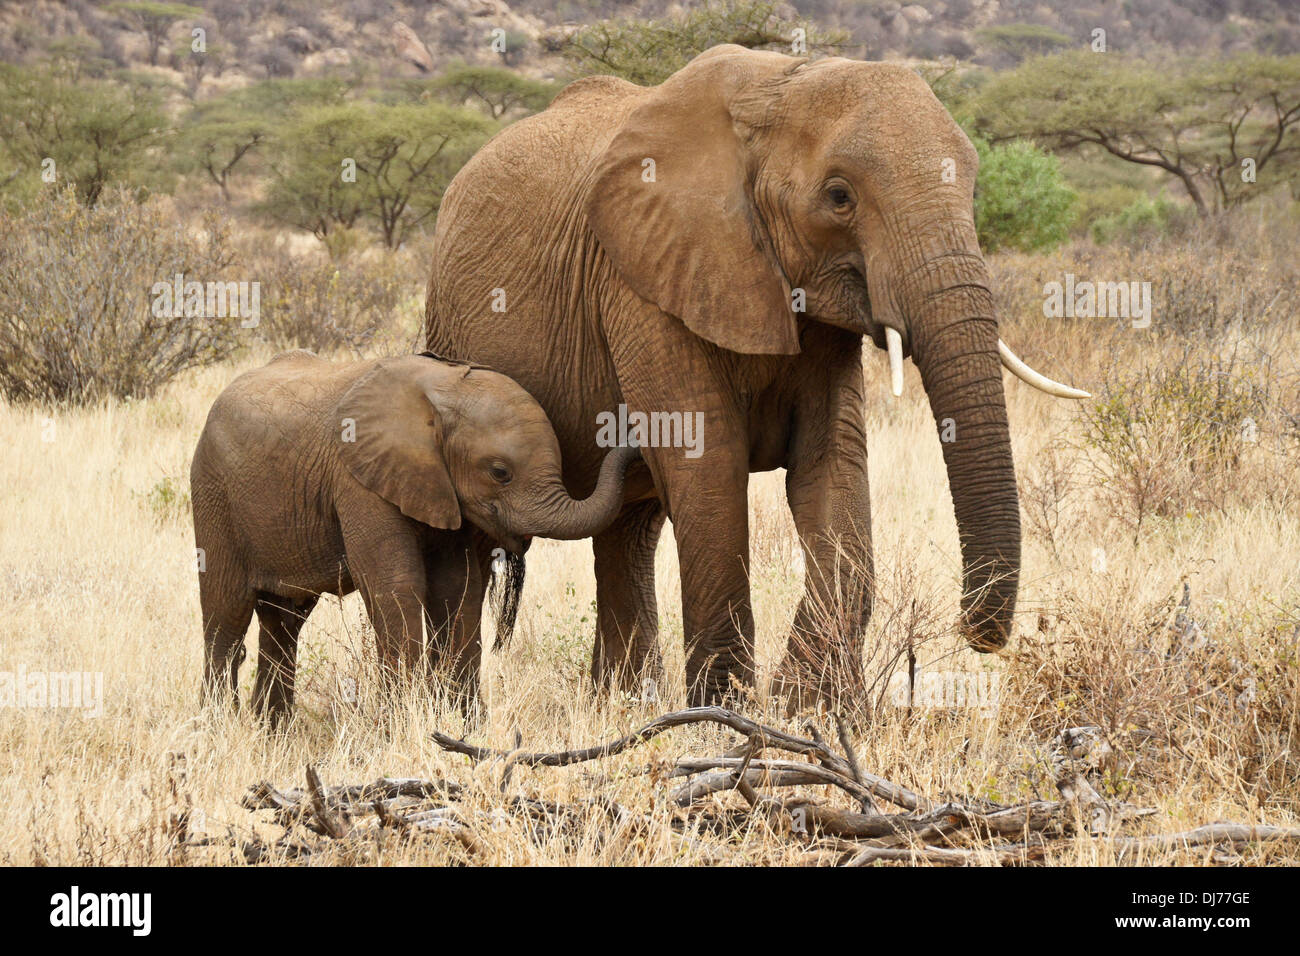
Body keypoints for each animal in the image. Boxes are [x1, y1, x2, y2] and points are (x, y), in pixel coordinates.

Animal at [191, 349, 639, 726]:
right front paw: (402, 726)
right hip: (213, 495)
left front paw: (467, 726)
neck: (443, 388)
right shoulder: (358, 480)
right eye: (500, 472)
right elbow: (395, 586)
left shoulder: (443, 492)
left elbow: (457, 589)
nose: (635, 442)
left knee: (284, 620)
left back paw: (273, 732)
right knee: (227, 613)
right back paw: (218, 727)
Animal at [423, 45, 1089, 709]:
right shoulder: (643, 282)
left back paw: (622, 703)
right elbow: (707, 463)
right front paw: (725, 710)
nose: (976, 634)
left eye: (973, 192)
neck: (778, 87)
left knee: (628, 531)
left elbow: (831, 466)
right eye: (839, 196)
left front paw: (813, 709)